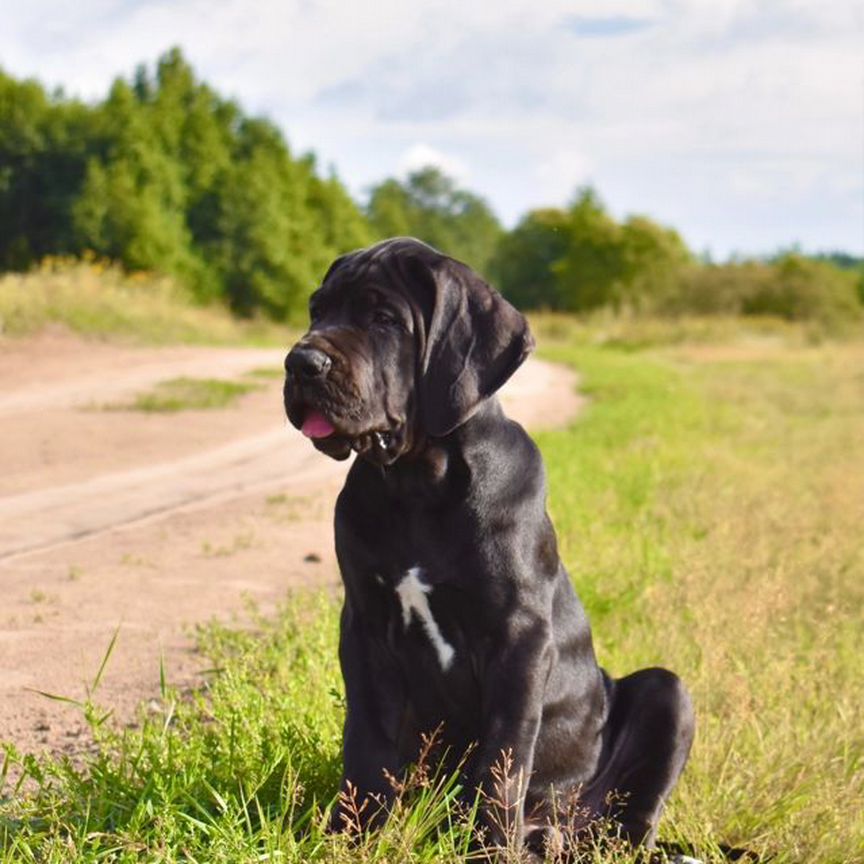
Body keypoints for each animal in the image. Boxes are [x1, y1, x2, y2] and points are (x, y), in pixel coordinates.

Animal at [284, 238, 696, 856]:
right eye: (317, 310)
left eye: (384, 319)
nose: (300, 362)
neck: (416, 482)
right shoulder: (365, 626)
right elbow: (367, 745)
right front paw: (350, 838)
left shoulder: (519, 640)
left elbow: (504, 759)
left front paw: (489, 848)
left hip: (667, 695)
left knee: (633, 820)